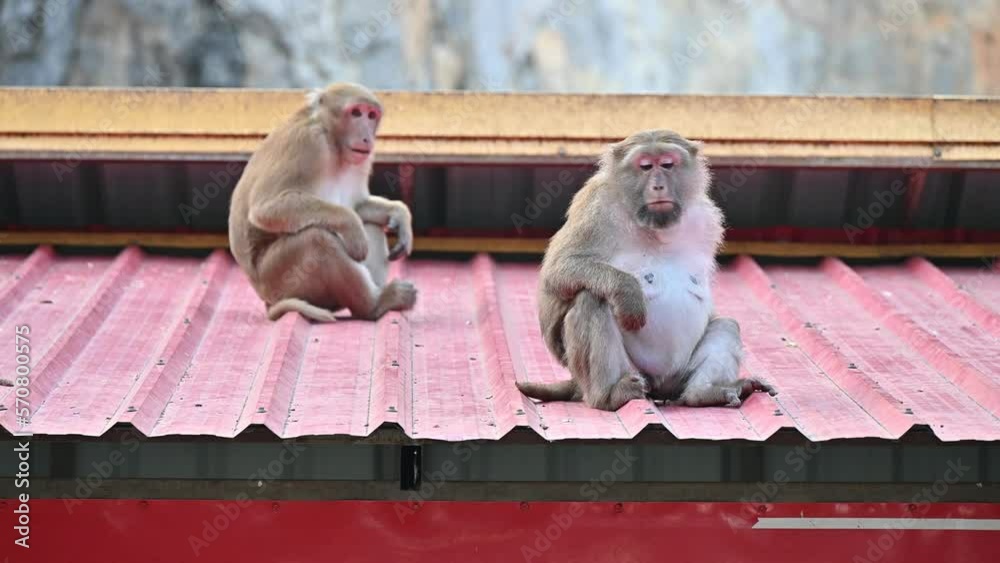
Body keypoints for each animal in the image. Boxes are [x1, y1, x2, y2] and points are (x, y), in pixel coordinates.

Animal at [228, 82, 416, 322]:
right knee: (317, 239)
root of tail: (267, 299)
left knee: (371, 225)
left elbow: (357, 205)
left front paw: (400, 215)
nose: (367, 137)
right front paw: (350, 223)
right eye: (356, 113)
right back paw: (374, 305)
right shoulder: (308, 141)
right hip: (278, 278)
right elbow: (265, 207)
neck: (332, 141)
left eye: (371, 115)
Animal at [515, 129, 776, 411]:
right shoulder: (596, 206)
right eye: (645, 166)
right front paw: (627, 291)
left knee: (726, 325)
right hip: (636, 374)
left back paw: (704, 393)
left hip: (679, 377)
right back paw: (610, 394)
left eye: (667, 164)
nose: (658, 185)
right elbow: (558, 271)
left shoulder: (708, 218)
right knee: (591, 299)